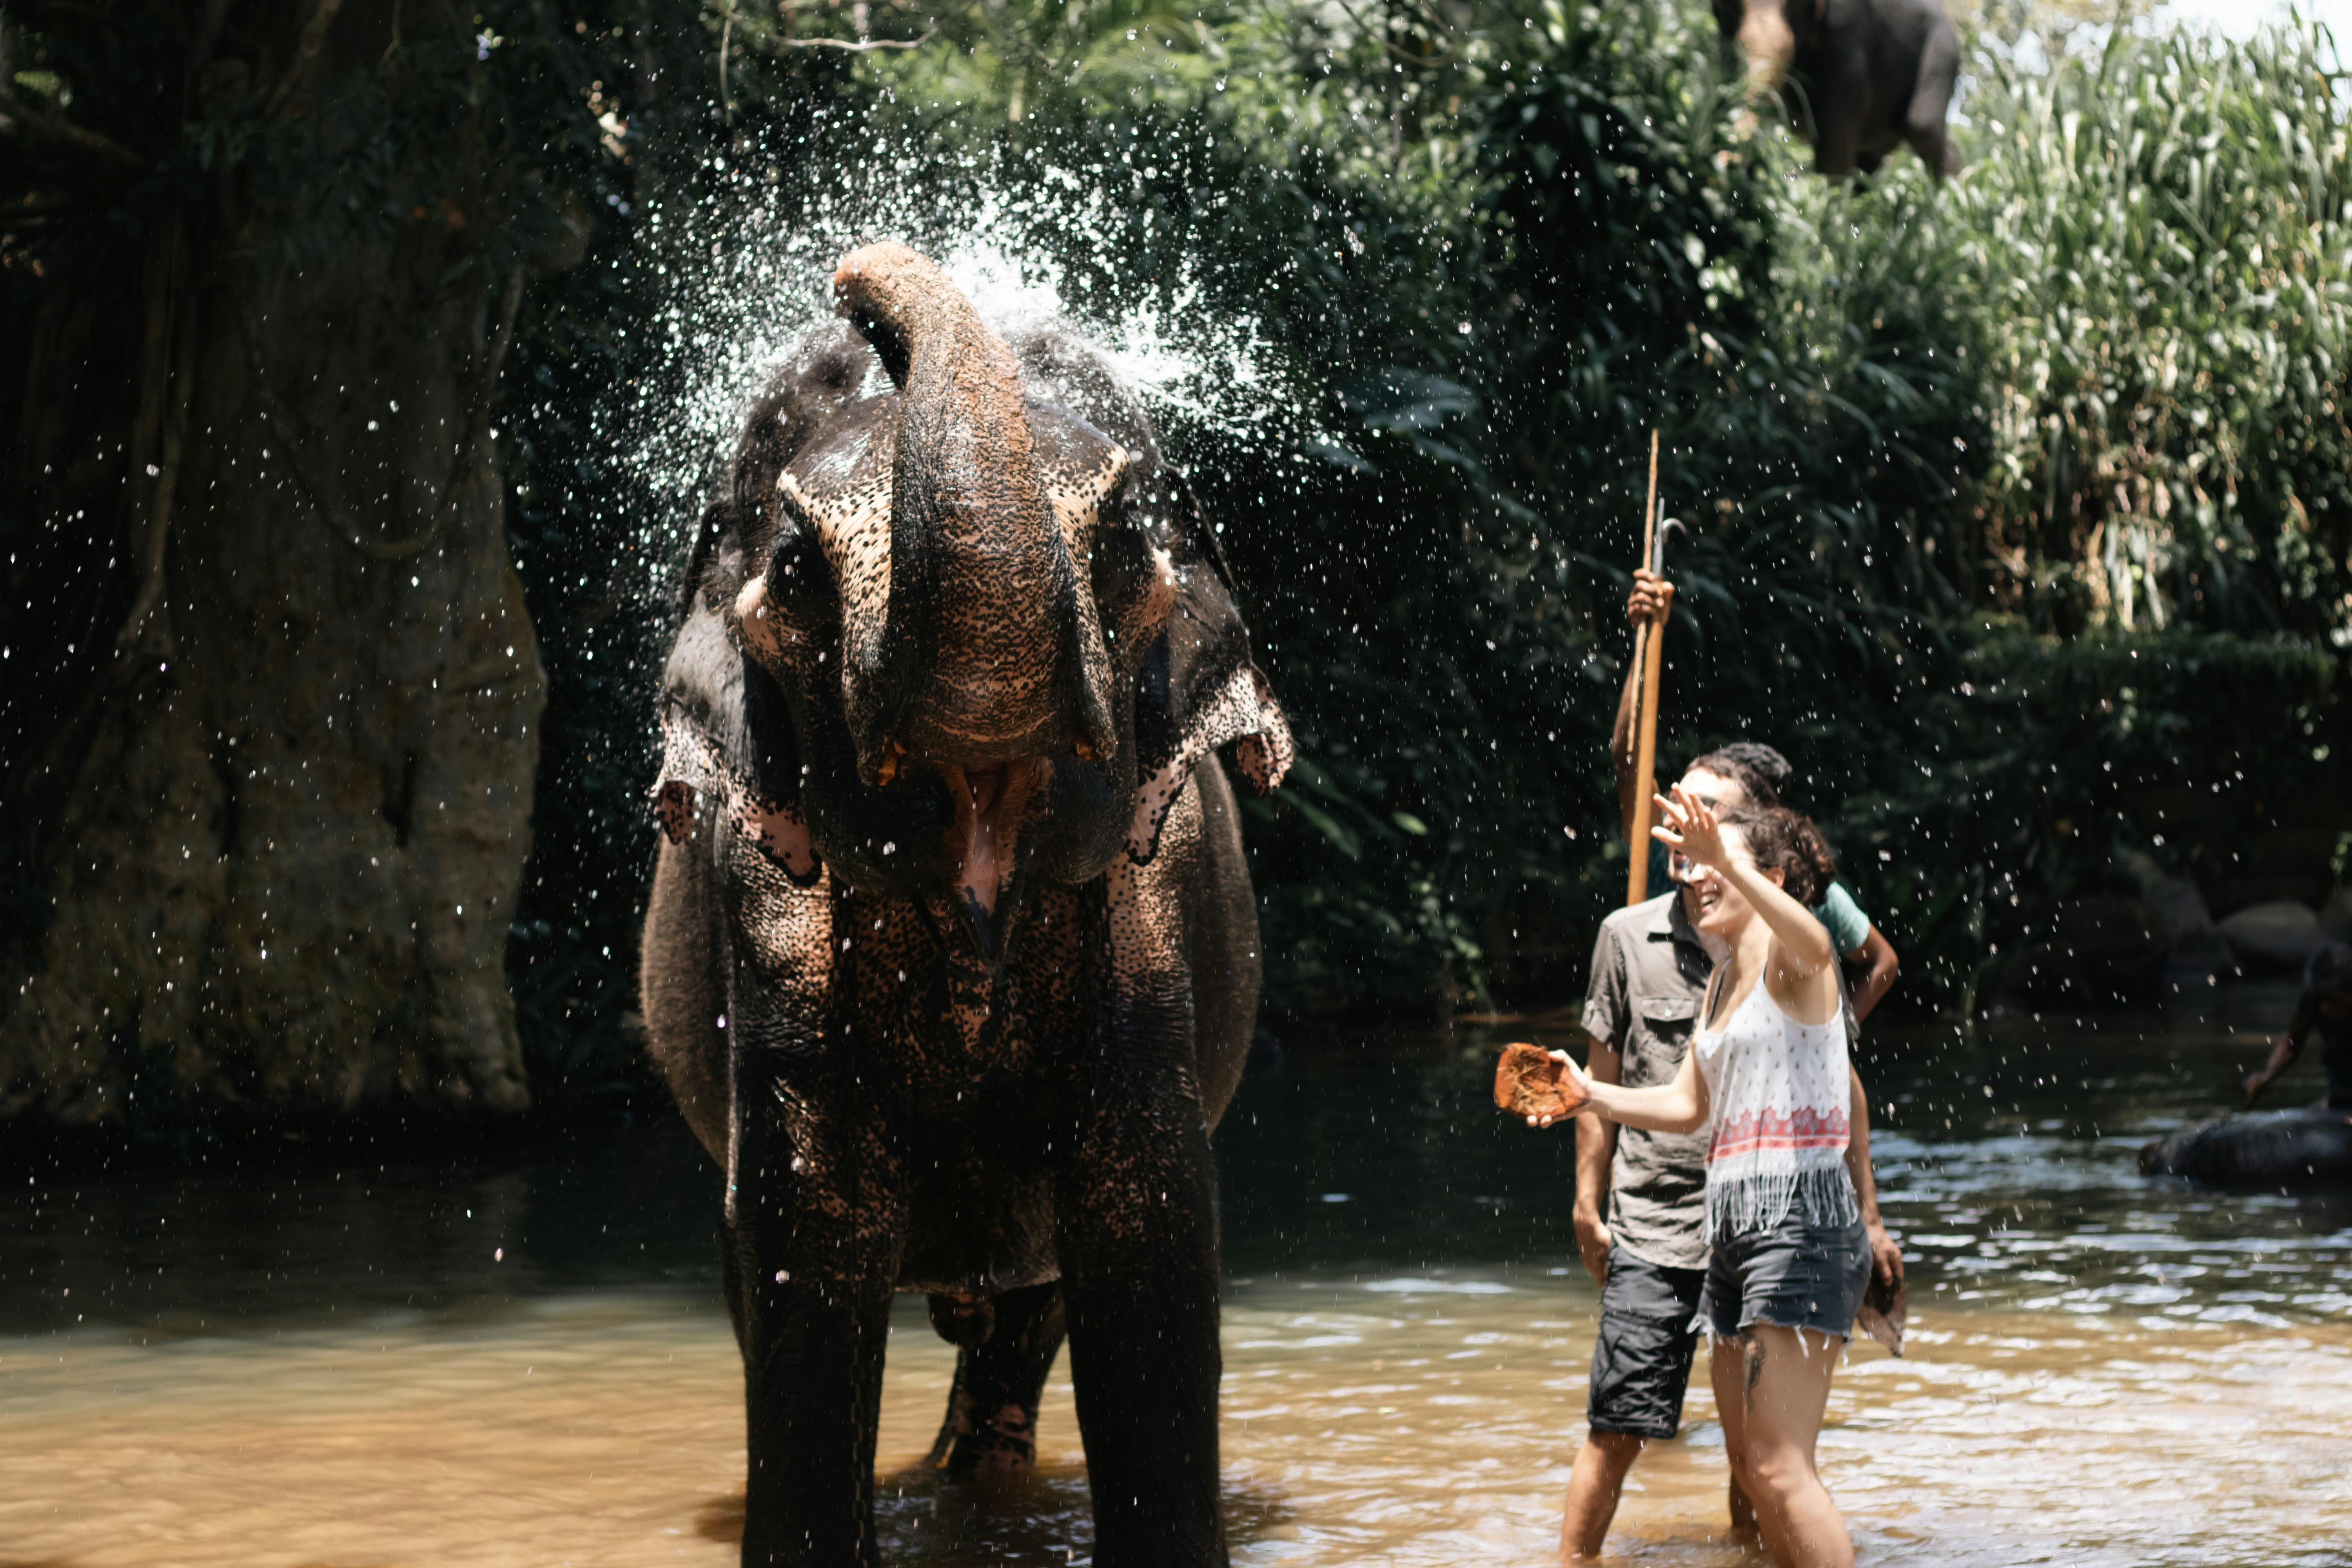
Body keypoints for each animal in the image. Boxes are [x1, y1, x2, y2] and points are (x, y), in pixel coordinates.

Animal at [637, 240, 1291, 1567]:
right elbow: (801, 1239)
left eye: (1125, 546)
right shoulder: (759, 905)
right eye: (795, 568)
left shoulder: (1148, 901)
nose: (856, 279)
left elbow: (1148, 1240)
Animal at [1715, 0, 1962, 180]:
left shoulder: (1845, 35)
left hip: (1943, 50)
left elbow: (1836, 146)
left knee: (1922, 128)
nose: (1723, 163)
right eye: (1730, 6)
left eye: (1795, 5)